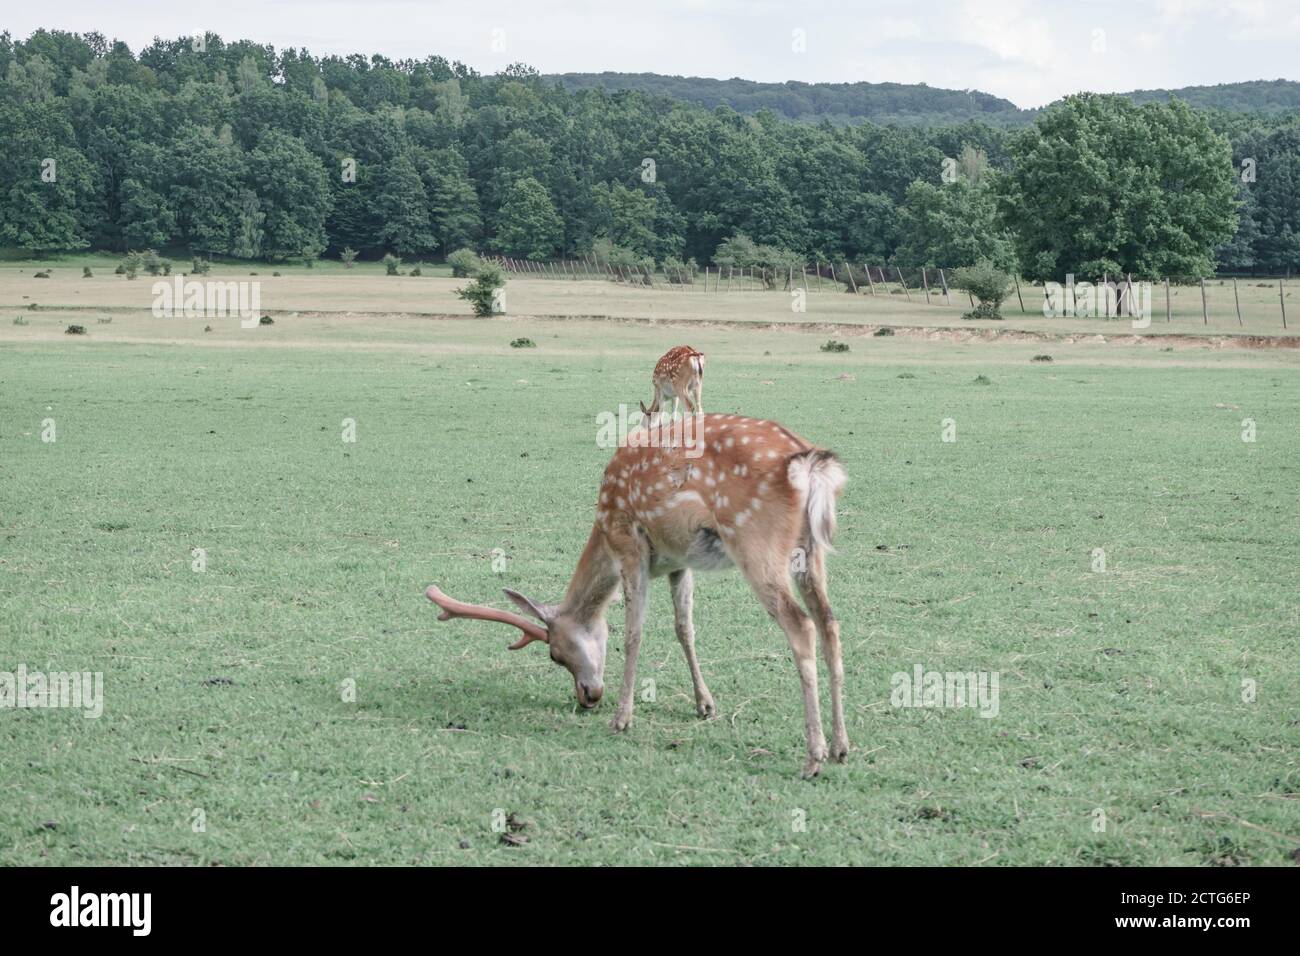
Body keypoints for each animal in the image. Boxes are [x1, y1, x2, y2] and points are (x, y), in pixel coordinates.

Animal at [425, 413, 849, 777]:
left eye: (555, 654)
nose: (587, 696)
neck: (602, 530)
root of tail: (810, 462)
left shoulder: (629, 544)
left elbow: (633, 632)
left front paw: (622, 718)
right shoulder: (680, 562)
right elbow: (684, 628)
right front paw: (705, 704)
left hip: (755, 540)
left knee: (802, 625)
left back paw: (813, 757)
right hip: (810, 550)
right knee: (829, 621)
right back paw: (841, 746)